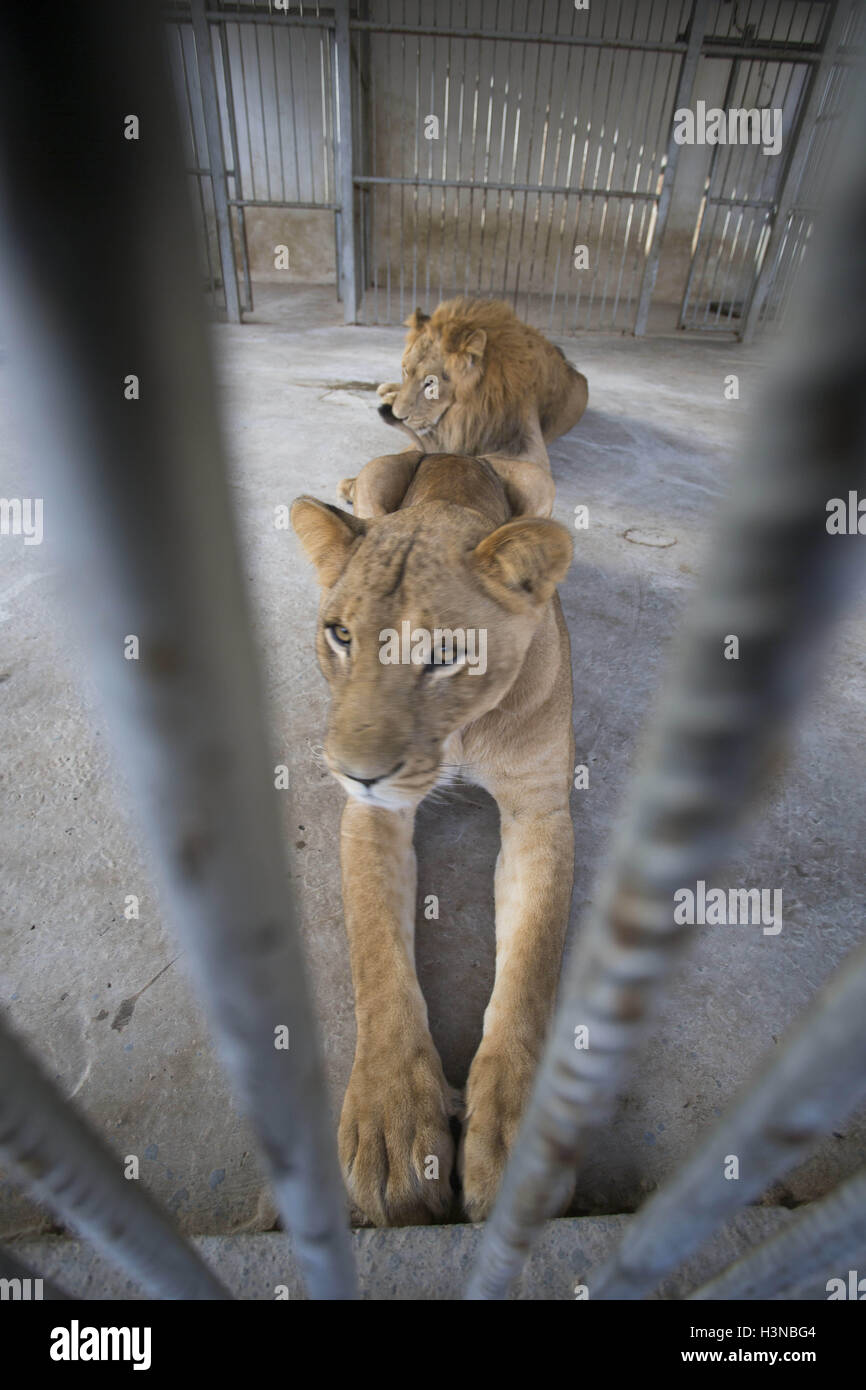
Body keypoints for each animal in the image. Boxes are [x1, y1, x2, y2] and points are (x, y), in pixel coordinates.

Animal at [292, 450, 576, 1225]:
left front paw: (515, 1136)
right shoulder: (375, 812)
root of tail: (455, 451)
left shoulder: (540, 809)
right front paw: (394, 1127)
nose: (355, 772)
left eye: (447, 654)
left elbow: (533, 960)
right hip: (381, 473)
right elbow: (377, 954)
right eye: (341, 635)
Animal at [338, 297, 588, 519]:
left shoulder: (530, 448)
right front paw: (353, 483)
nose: (399, 415)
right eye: (405, 370)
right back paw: (388, 392)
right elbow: (411, 449)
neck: (467, 411)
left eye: (430, 383)